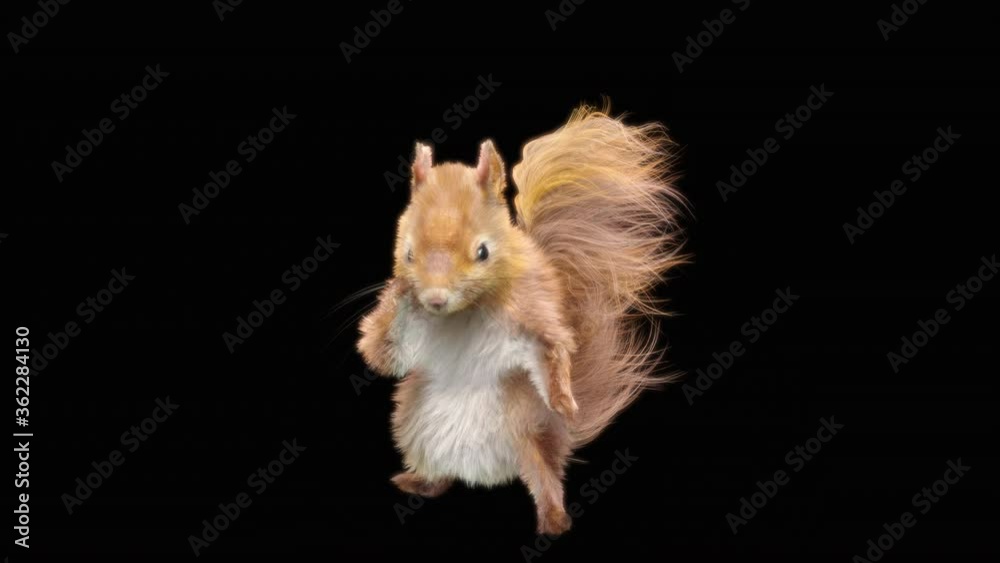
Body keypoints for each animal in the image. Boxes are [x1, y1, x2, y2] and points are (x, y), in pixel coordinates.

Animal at [357, 104, 686, 535]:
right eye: (408, 252)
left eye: (483, 251)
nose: (435, 298)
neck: (466, 311)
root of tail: (483, 474)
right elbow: (384, 354)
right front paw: (399, 295)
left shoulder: (533, 312)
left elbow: (551, 346)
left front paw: (564, 399)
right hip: (415, 425)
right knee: (439, 473)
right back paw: (421, 482)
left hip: (530, 432)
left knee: (543, 476)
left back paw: (553, 517)